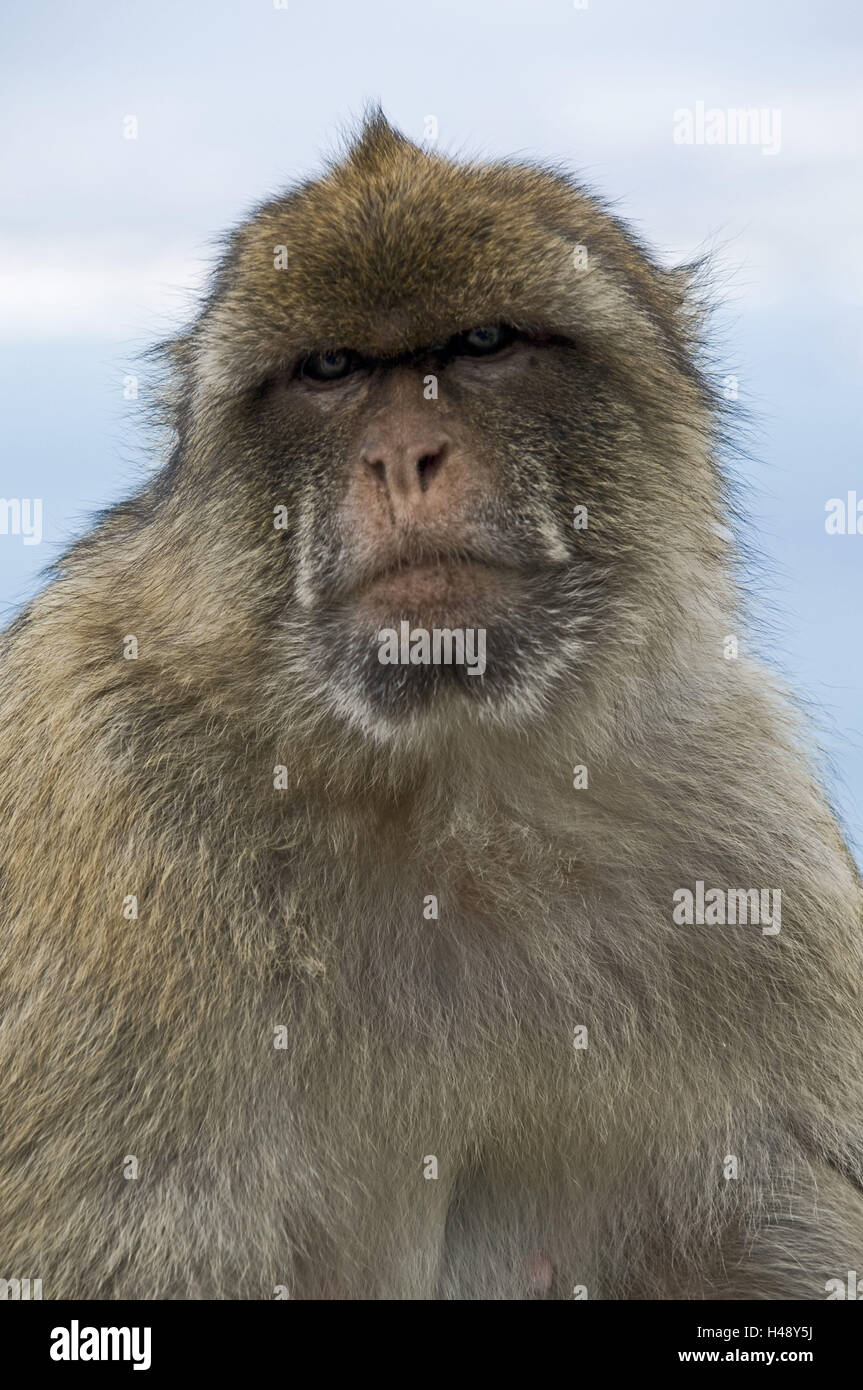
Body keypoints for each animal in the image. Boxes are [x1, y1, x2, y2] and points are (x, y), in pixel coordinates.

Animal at [0, 110, 861, 1302]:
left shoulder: (751, 839)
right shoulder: (97, 791)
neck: (448, 783)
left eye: (482, 345)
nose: (403, 456)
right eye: (330, 368)